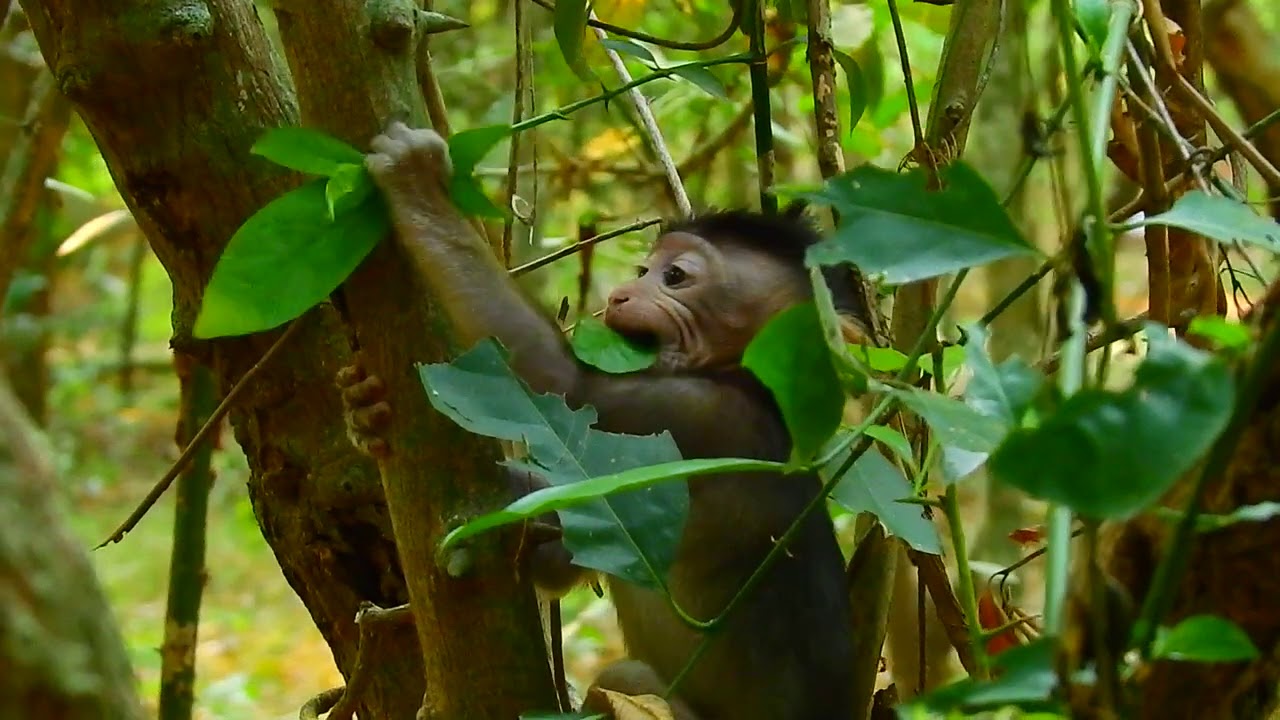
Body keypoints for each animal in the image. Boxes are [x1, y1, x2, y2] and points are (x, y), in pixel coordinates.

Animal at [338, 121, 872, 720]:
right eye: (645, 271)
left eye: (675, 276)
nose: (620, 293)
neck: (754, 389)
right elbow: (559, 554)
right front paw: (363, 410)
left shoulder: (698, 415)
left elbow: (568, 385)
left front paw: (419, 185)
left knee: (627, 676)